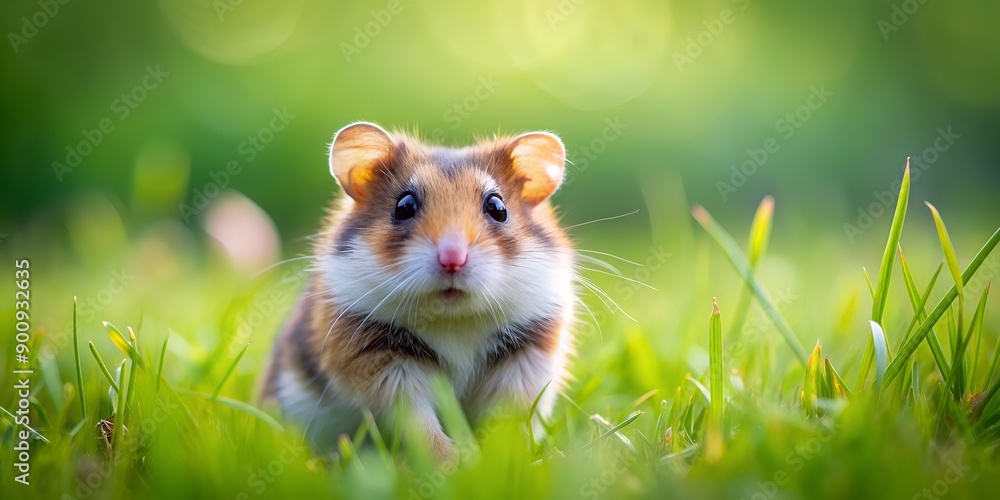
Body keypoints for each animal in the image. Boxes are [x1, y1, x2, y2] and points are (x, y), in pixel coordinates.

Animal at [262, 122, 576, 461]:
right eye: (404, 206)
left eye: (497, 207)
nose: (453, 259)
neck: (453, 319)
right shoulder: (379, 362)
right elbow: (417, 422)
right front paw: (454, 462)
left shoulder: (527, 355)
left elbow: (510, 418)